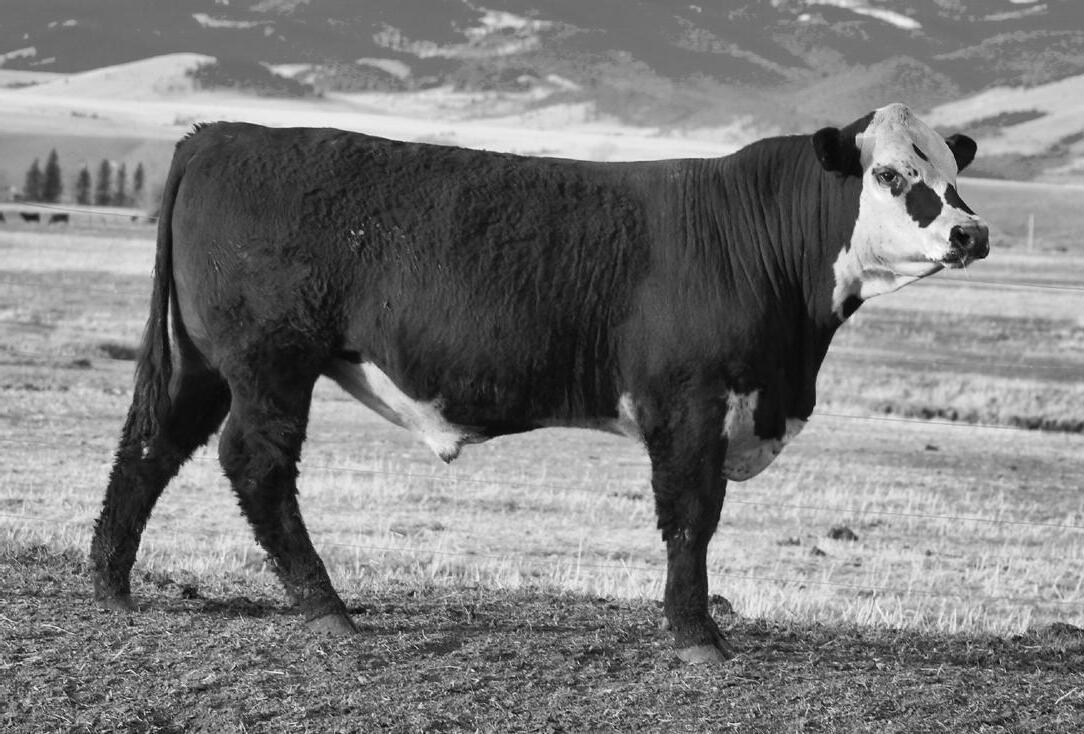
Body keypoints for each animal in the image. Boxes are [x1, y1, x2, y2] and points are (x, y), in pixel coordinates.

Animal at [90, 103, 988, 663]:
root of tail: (219, 135)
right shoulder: (689, 406)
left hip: (207, 363)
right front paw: (697, 635)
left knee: (152, 445)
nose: (971, 232)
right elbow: (691, 519)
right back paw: (325, 607)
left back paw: (110, 583)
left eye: (952, 167)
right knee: (256, 463)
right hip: (271, 361)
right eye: (891, 176)